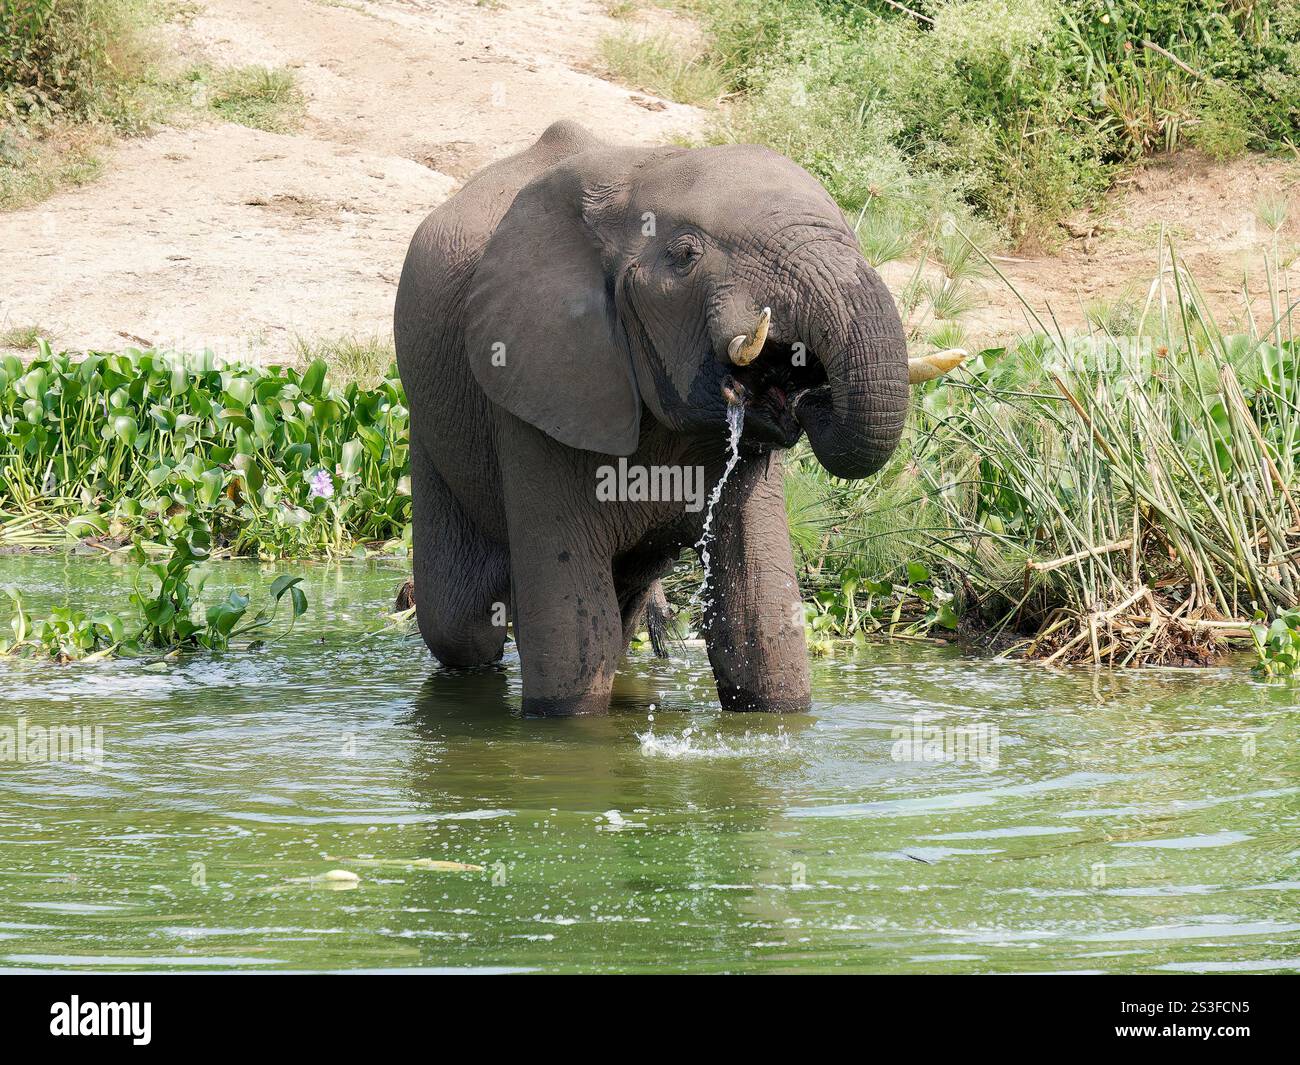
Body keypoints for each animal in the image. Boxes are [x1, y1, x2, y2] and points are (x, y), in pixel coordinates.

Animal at [394, 120, 958, 716]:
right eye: (686, 254)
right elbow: (573, 632)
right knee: (460, 624)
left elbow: (758, 616)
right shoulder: (534, 395)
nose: (806, 389)